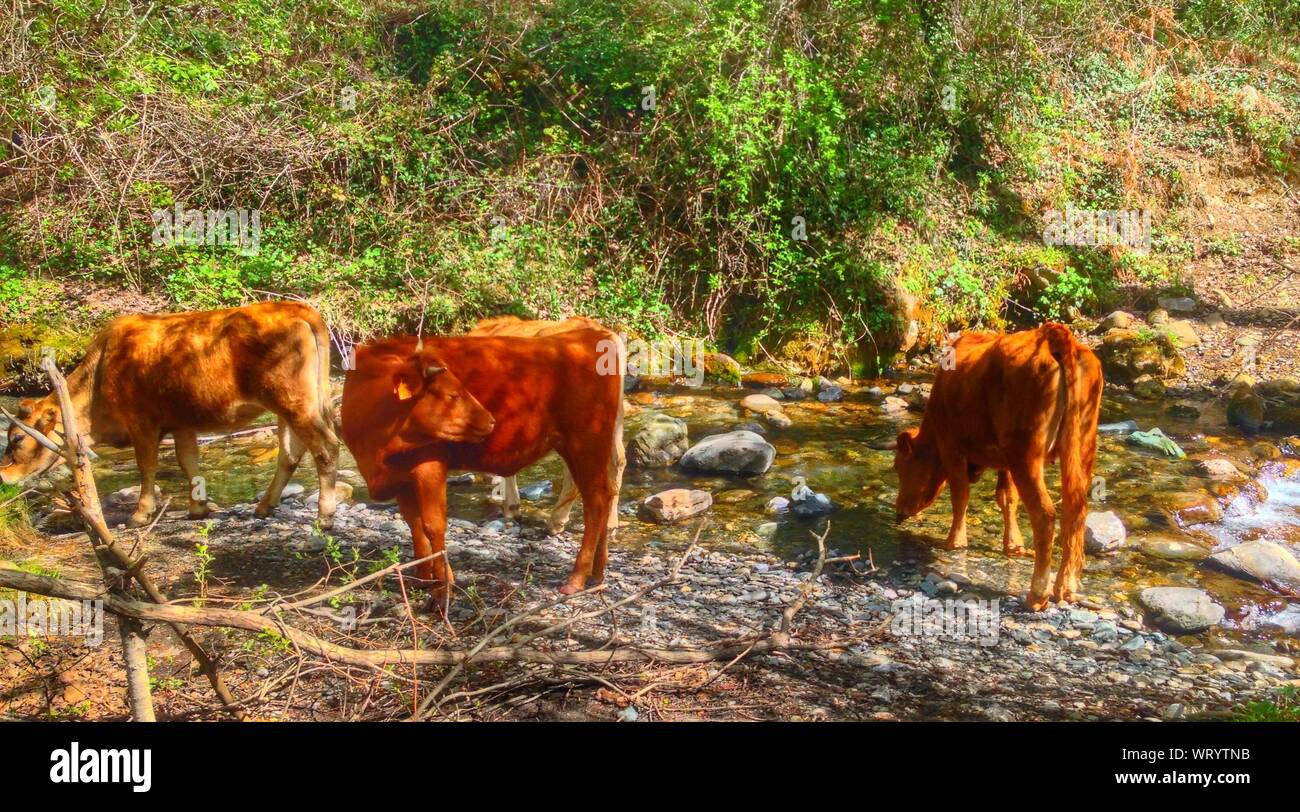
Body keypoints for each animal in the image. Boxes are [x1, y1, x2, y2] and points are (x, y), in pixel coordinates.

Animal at [0, 301, 339, 528]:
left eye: (16, 438)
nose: (4, 475)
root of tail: (295, 307)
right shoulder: (181, 423)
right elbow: (188, 462)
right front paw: (197, 507)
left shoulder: (142, 423)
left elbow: (147, 466)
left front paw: (141, 513)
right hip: (289, 408)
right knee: (290, 454)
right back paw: (265, 506)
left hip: (295, 403)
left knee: (326, 448)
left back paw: (325, 515)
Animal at [340, 326, 626, 609]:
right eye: (453, 395)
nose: (491, 420)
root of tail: (591, 334)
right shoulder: (400, 476)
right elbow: (414, 523)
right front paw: (421, 579)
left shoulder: (429, 463)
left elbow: (433, 525)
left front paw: (442, 590)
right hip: (579, 447)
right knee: (604, 494)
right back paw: (597, 573)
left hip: (586, 442)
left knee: (595, 503)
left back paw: (577, 577)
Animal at [891, 323, 1102, 611]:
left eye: (898, 467)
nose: (899, 511)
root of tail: (1053, 334)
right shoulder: (1005, 461)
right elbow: (1007, 498)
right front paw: (1013, 545)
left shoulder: (951, 446)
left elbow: (960, 495)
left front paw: (954, 542)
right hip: (1082, 447)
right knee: (1075, 511)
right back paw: (1065, 588)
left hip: (1025, 453)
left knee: (1045, 515)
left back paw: (1038, 595)